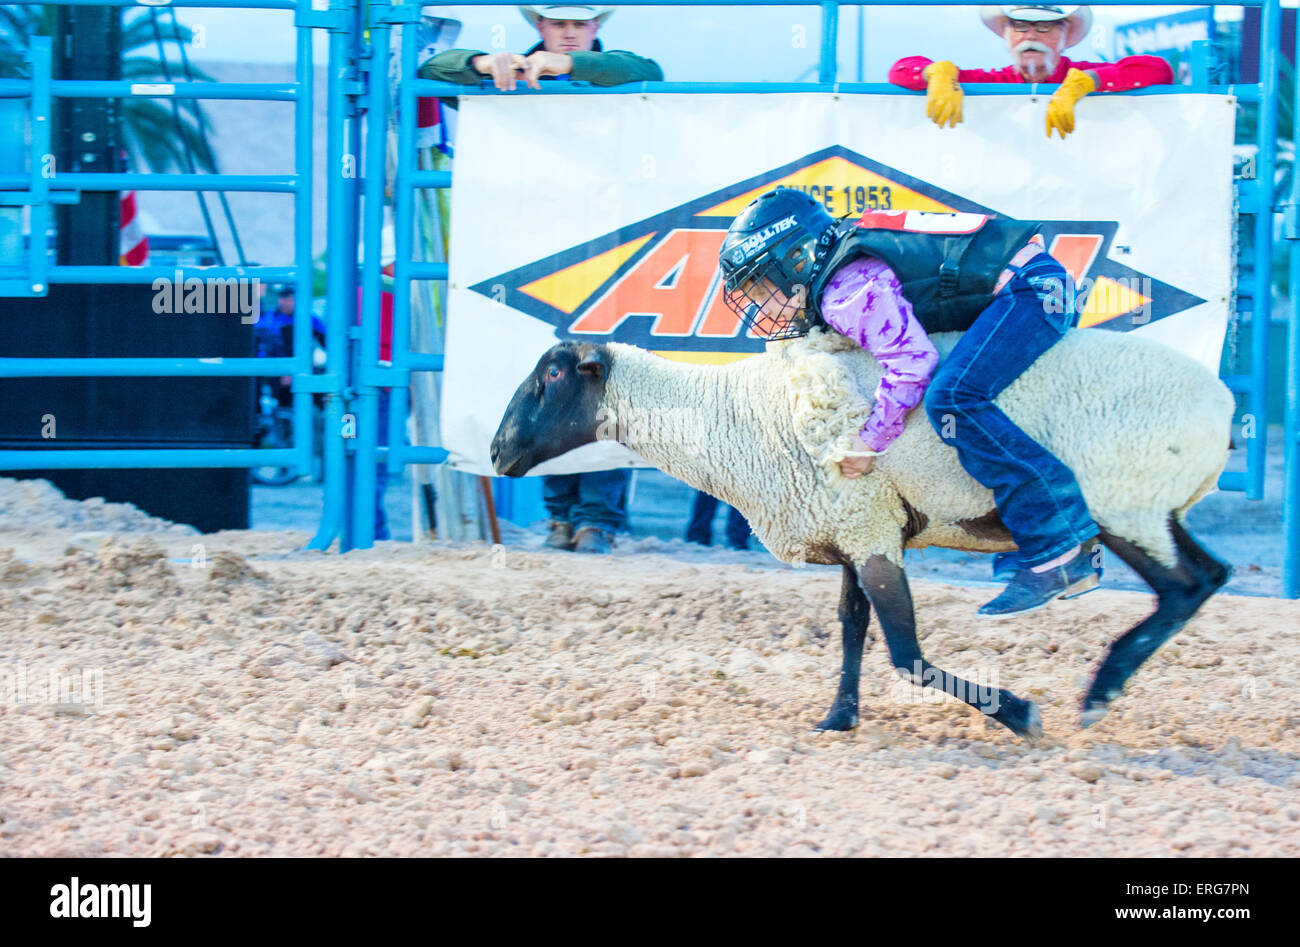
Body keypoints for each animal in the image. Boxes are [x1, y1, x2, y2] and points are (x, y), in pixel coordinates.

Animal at [490, 326, 1234, 738]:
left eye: (552, 373)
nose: (497, 452)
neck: (733, 413)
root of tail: (1224, 405)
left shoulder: (869, 527)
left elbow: (905, 652)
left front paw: (1019, 712)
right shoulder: (855, 528)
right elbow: (851, 627)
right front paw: (838, 718)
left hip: (1122, 502)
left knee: (1182, 586)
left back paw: (1098, 691)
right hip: (1153, 507)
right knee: (1209, 577)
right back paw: (1107, 683)